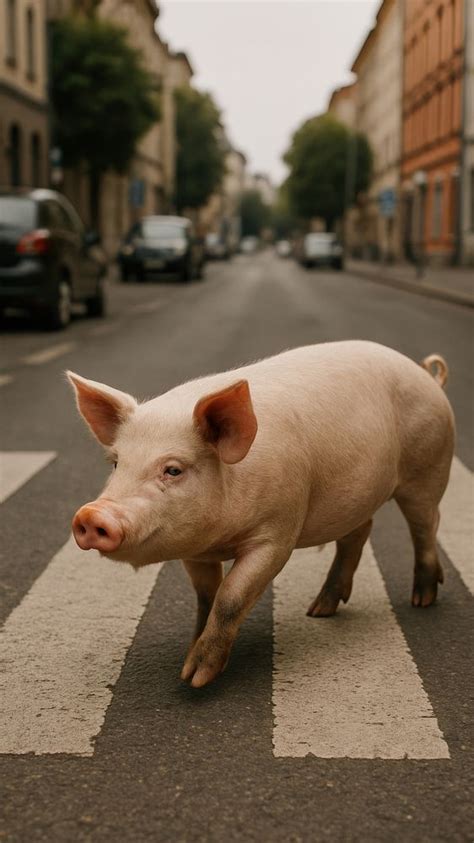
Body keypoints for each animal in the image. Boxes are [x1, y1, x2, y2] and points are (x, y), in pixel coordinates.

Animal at [68, 340, 455, 688]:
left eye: (173, 470)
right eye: (116, 463)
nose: (91, 515)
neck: (222, 539)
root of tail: (426, 375)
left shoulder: (278, 532)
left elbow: (230, 596)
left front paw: (195, 679)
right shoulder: (195, 550)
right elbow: (206, 596)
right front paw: (187, 660)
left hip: (428, 468)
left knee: (425, 525)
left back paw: (421, 601)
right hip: (357, 496)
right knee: (359, 532)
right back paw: (320, 610)